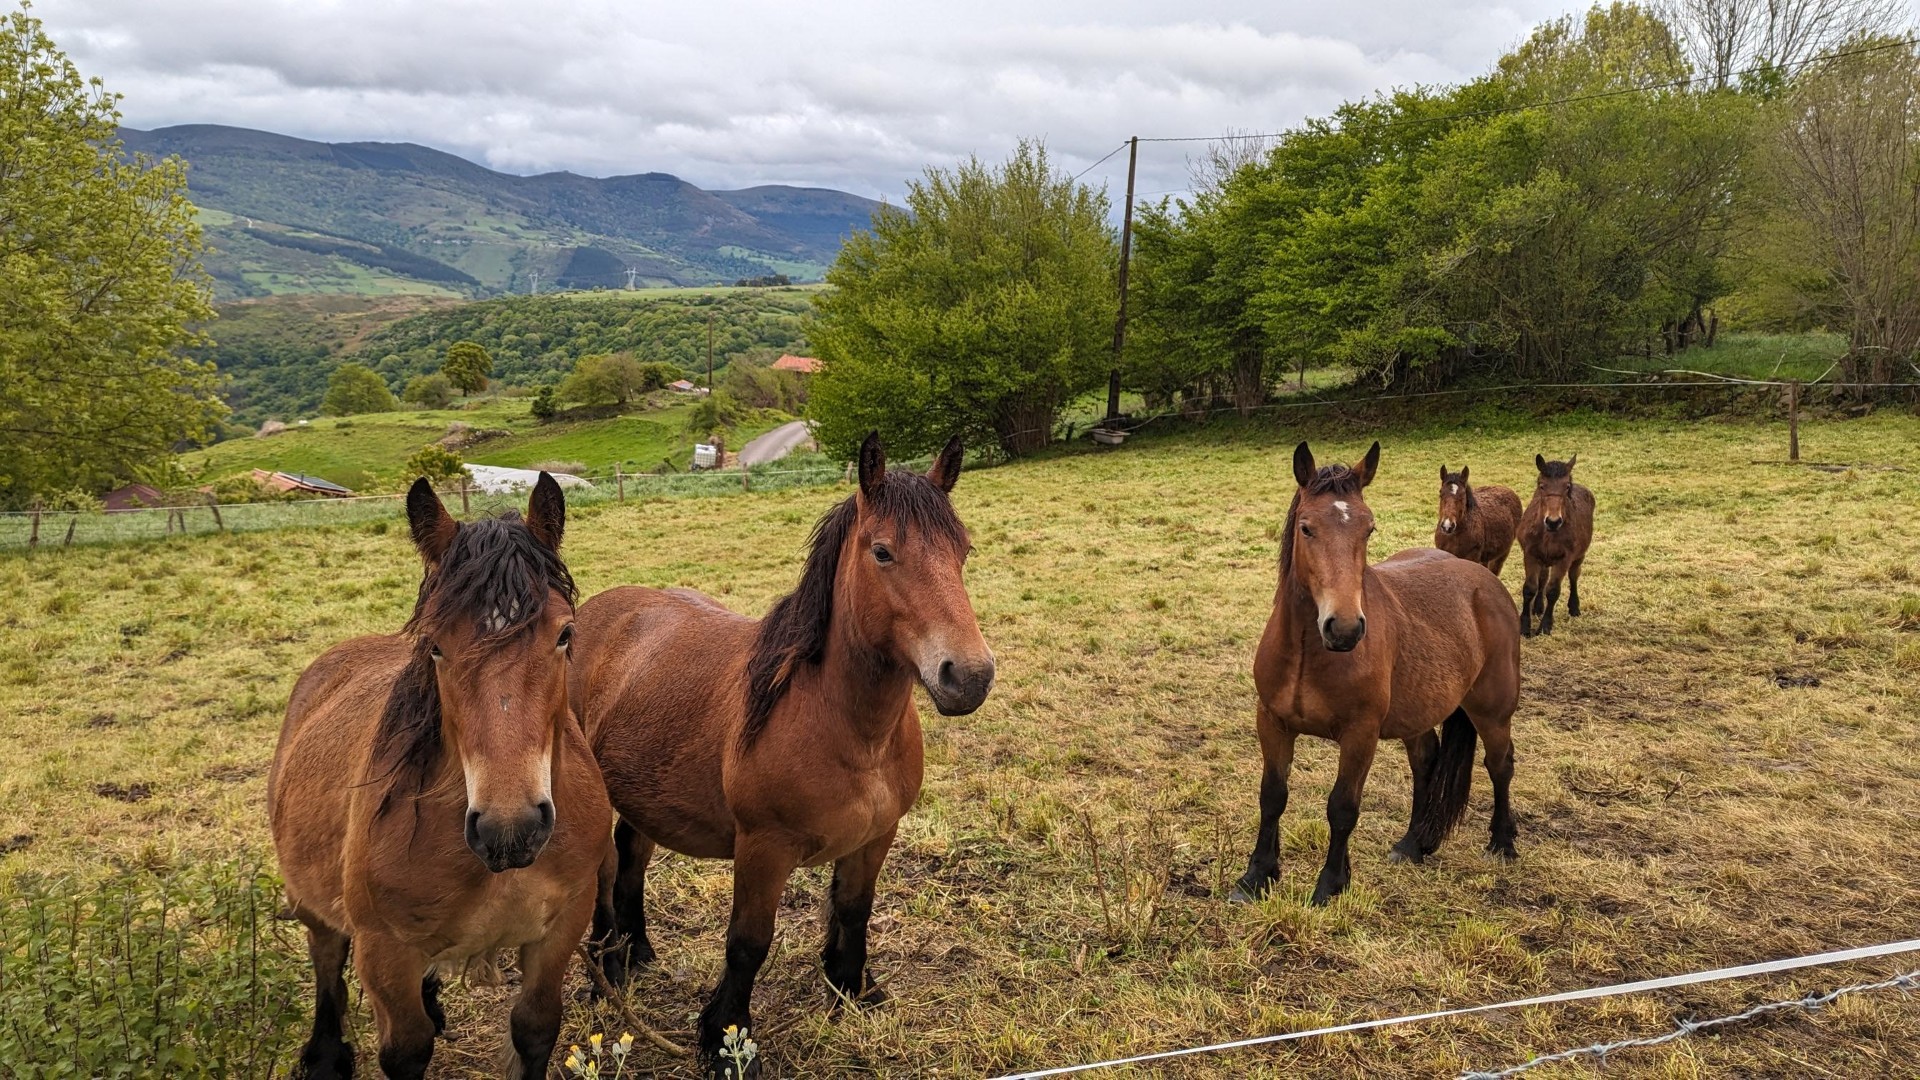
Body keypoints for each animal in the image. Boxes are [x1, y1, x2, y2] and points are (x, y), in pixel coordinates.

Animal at [268, 475, 610, 1079]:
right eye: (434, 645)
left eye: (566, 633)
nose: (510, 829)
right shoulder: (384, 954)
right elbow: (406, 1050)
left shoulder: (562, 927)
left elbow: (536, 1029)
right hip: (314, 908)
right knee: (326, 961)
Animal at [570, 433, 994, 1076]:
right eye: (882, 552)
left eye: (963, 550)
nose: (968, 677)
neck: (841, 725)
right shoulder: (762, 851)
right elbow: (748, 944)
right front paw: (724, 1039)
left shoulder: (876, 837)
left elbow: (854, 911)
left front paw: (852, 989)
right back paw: (606, 969)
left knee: (631, 857)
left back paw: (635, 950)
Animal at [1231, 442, 1521, 907]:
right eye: (1307, 528)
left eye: (1369, 529)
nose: (1345, 628)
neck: (1308, 652)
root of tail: (1486, 583)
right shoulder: (1272, 723)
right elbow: (1272, 796)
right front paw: (1256, 876)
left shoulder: (1360, 735)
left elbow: (1342, 807)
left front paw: (1331, 885)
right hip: (1418, 714)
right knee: (1426, 761)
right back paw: (1414, 843)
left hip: (1492, 712)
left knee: (1500, 764)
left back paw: (1502, 842)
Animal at [1517, 454, 1595, 636]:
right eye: (1541, 485)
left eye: (1566, 486)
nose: (1553, 521)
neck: (1547, 533)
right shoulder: (1530, 554)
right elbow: (1529, 588)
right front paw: (1524, 626)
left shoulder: (1564, 559)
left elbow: (1553, 591)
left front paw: (1545, 626)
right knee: (1543, 578)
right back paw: (1538, 607)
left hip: (1579, 556)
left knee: (1574, 576)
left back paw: (1574, 607)